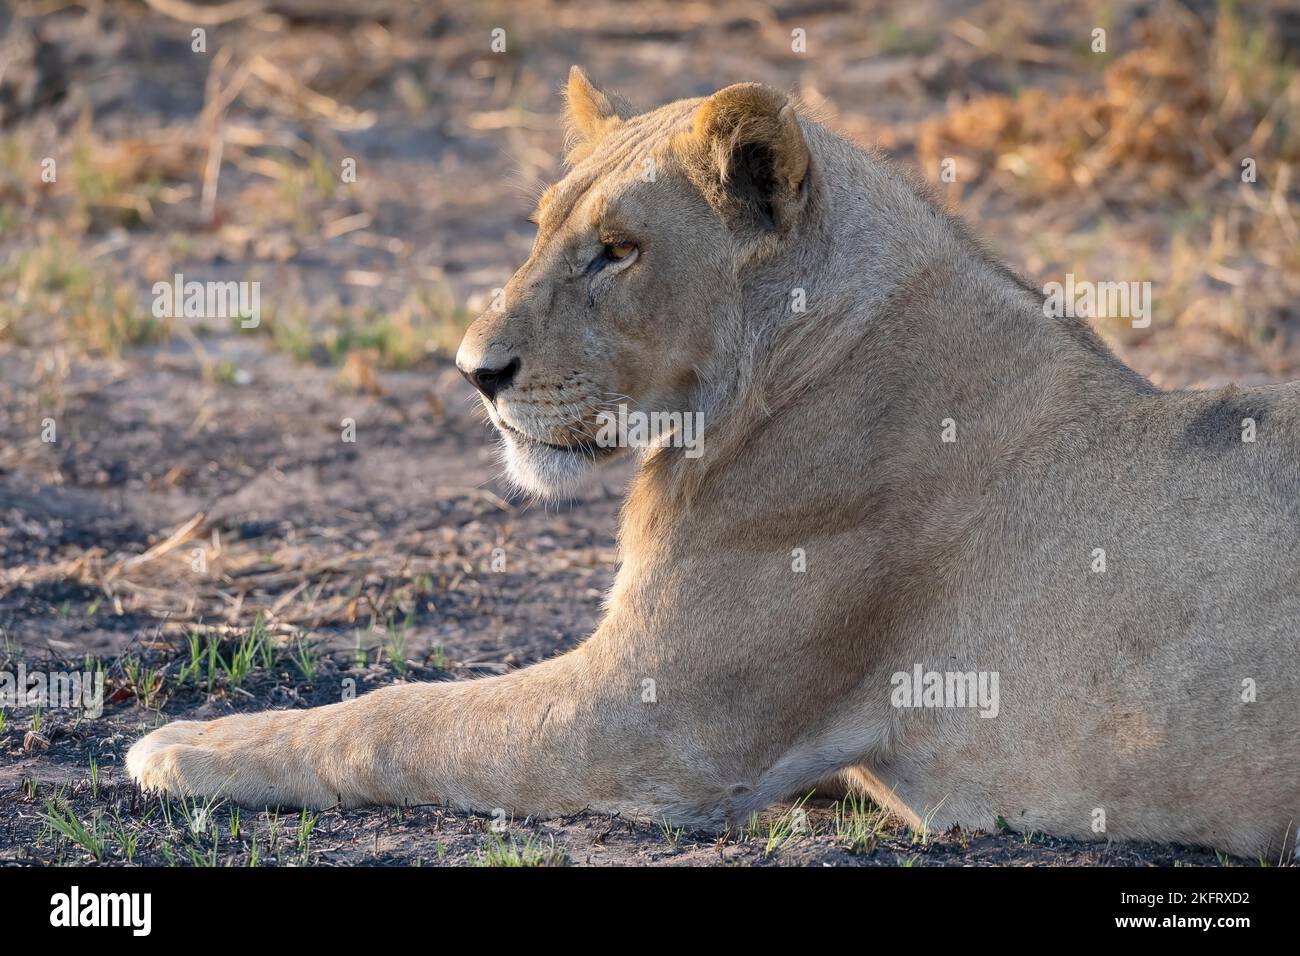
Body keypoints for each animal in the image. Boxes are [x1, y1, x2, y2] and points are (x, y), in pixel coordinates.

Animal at [129, 67, 1300, 859]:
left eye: (617, 250)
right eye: (541, 229)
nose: (474, 371)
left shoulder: (651, 723)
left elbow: (402, 715)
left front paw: (186, 744)